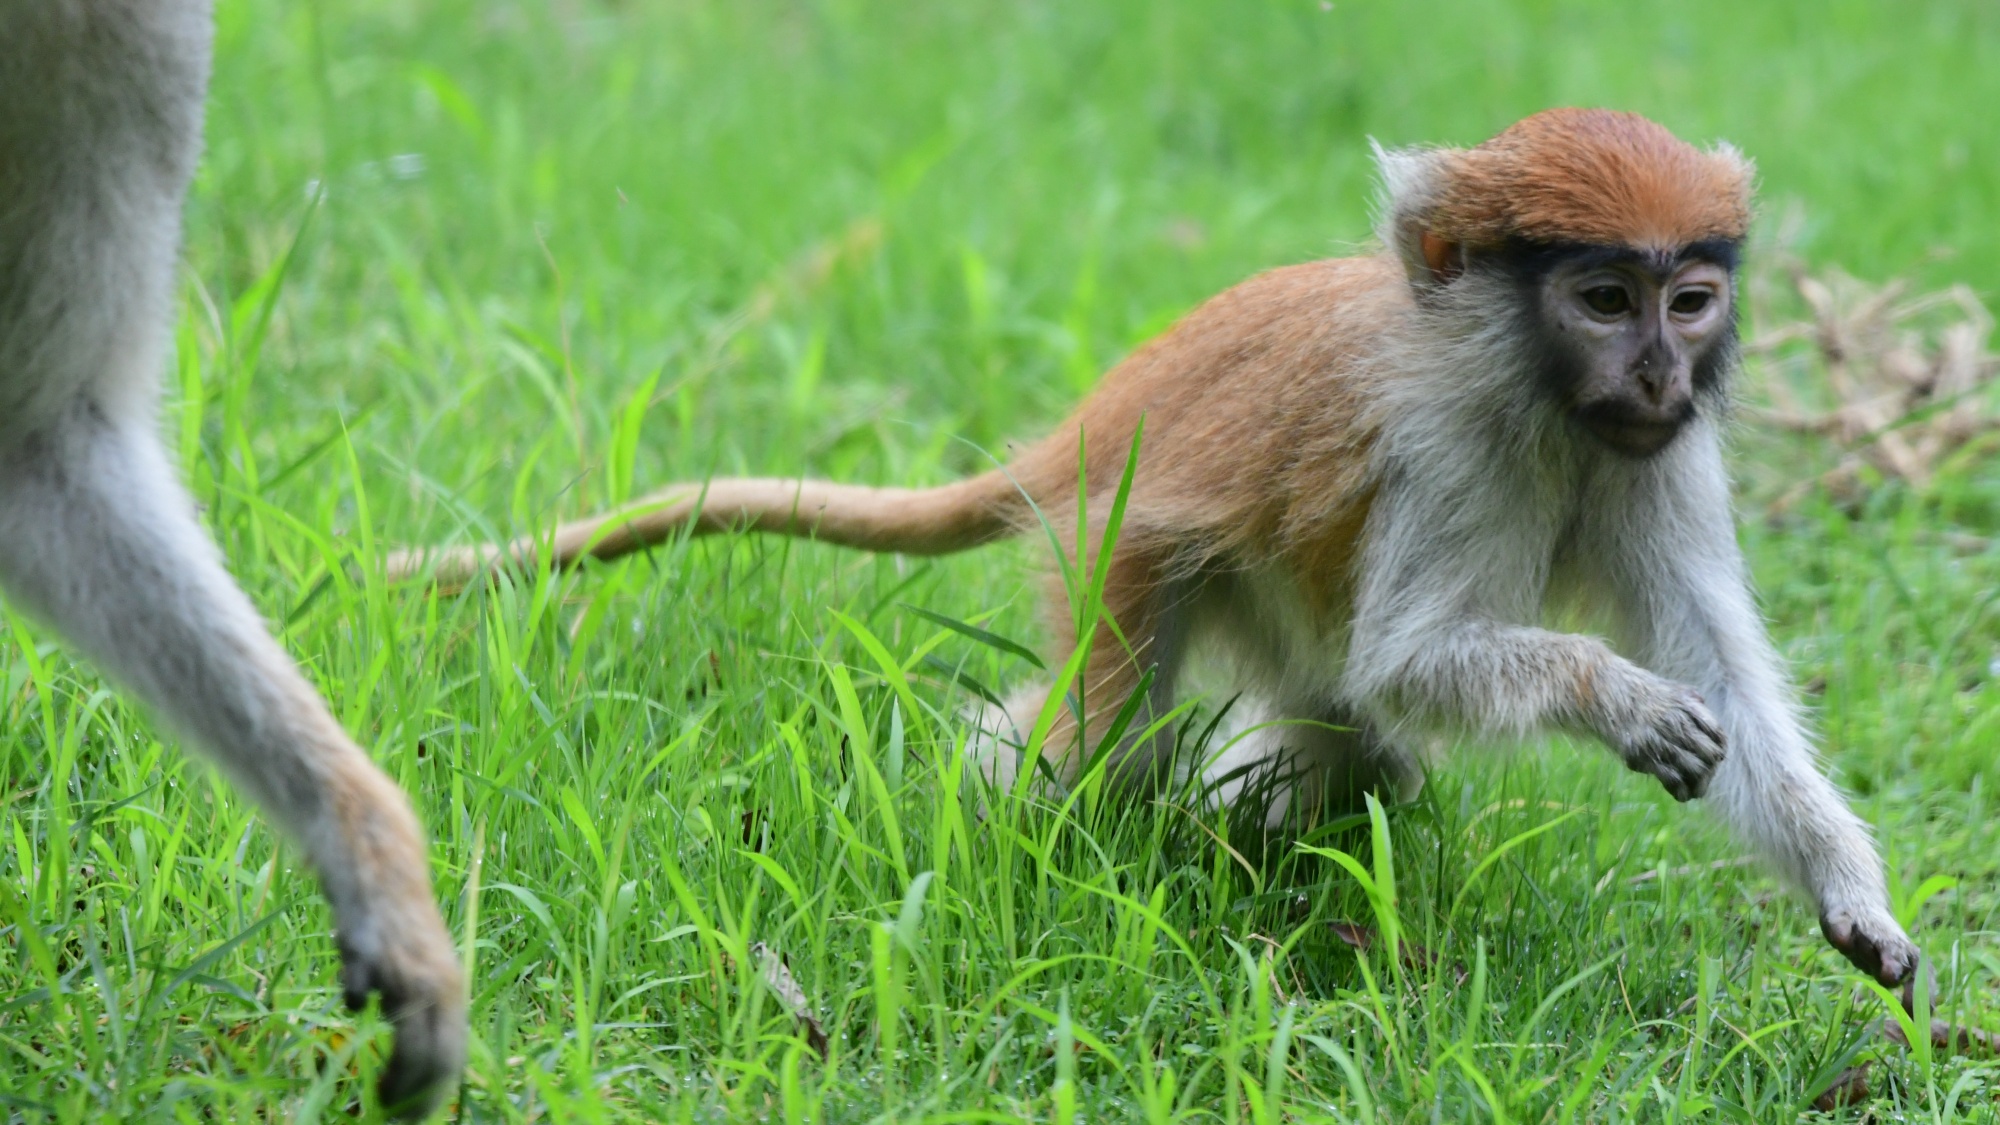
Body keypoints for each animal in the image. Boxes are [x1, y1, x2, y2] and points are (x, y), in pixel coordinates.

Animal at [393, 108, 1918, 989]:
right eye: (1604, 299)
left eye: (1689, 297)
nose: (1659, 373)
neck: (1542, 394)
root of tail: (1092, 423)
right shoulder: (1450, 448)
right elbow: (1415, 657)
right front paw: (1627, 705)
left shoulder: (1659, 455)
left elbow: (1715, 669)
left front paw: (1845, 887)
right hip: (1119, 544)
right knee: (1098, 731)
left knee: (1347, 736)